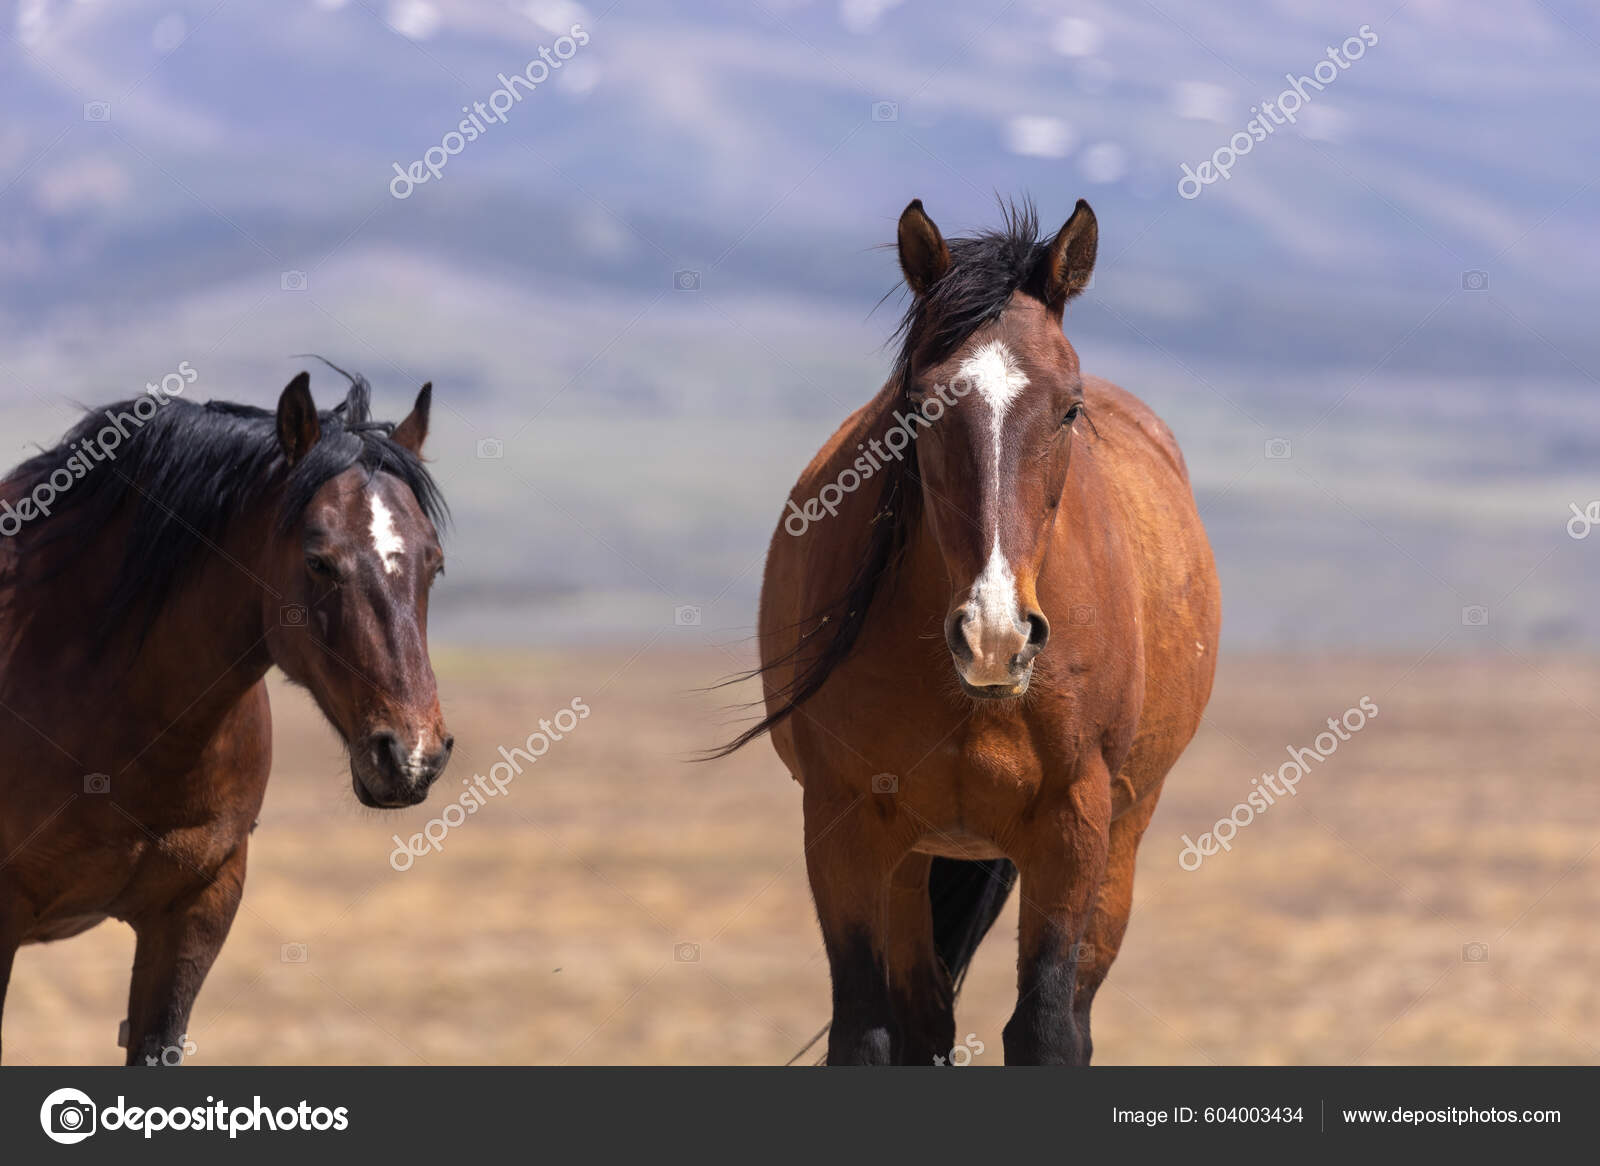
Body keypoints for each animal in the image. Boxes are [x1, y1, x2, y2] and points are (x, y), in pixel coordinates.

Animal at [728, 198, 1220, 1064]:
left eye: (1069, 406)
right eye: (922, 405)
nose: (996, 636)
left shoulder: (1073, 824)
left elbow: (1048, 1028)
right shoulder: (843, 822)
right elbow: (867, 1031)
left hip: (1124, 834)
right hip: (912, 860)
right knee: (923, 1018)